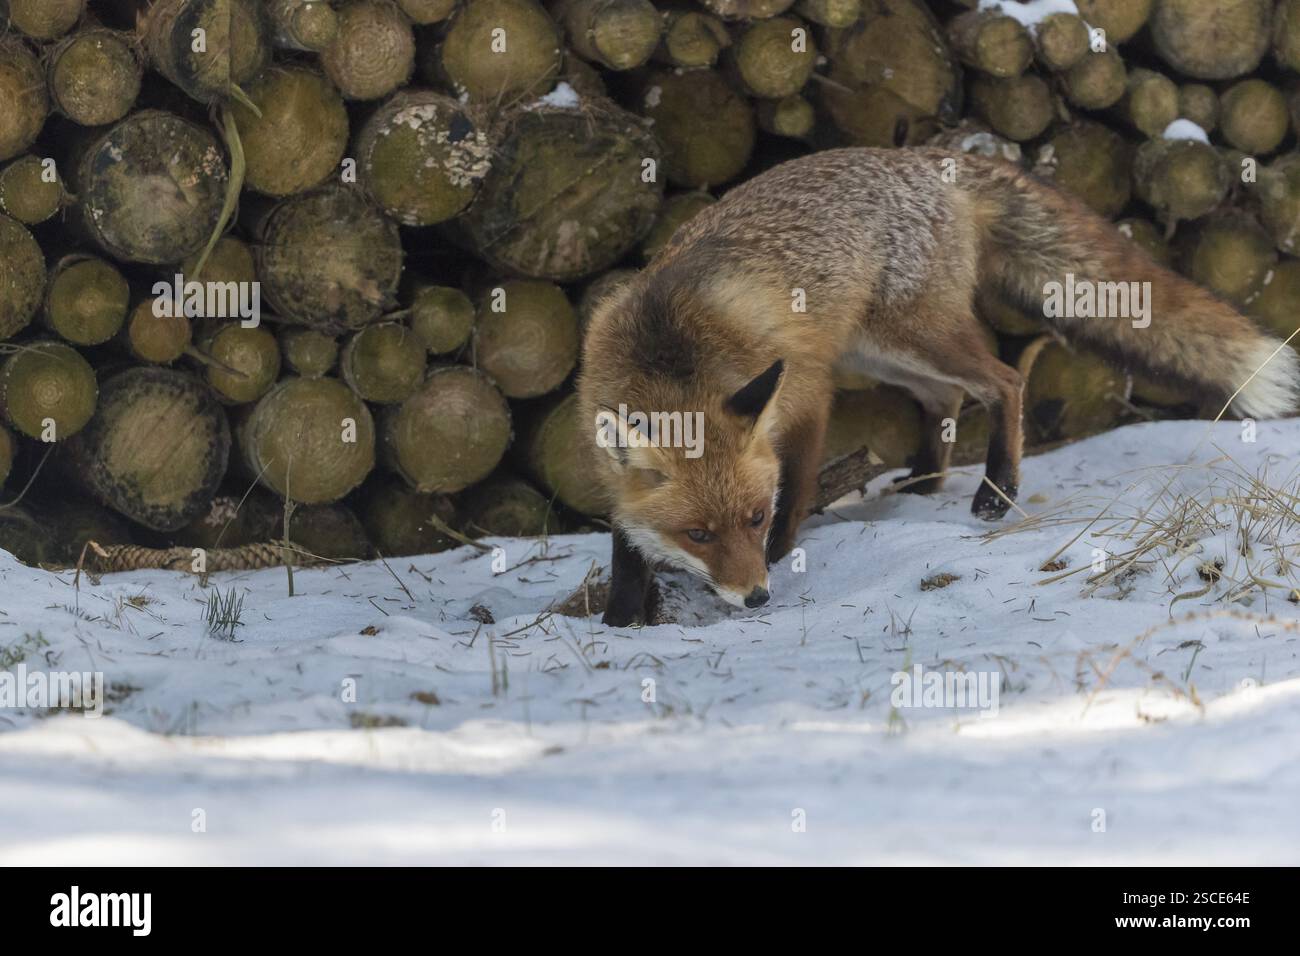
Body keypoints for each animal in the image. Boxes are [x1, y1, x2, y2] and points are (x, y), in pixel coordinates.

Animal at [577, 147, 1300, 627]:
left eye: (752, 518)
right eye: (698, 534)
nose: (755, 596)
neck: (670, 345)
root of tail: (927, 154)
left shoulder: (806, 393)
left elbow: (797, 488)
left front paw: (781, 556)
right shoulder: (605, 441)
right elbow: (624, 541)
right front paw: (621, 619)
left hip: (910, 336)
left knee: (1004, 380)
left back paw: (995, 491)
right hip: (880, 350)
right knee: (943, 399)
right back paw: (923, 484)